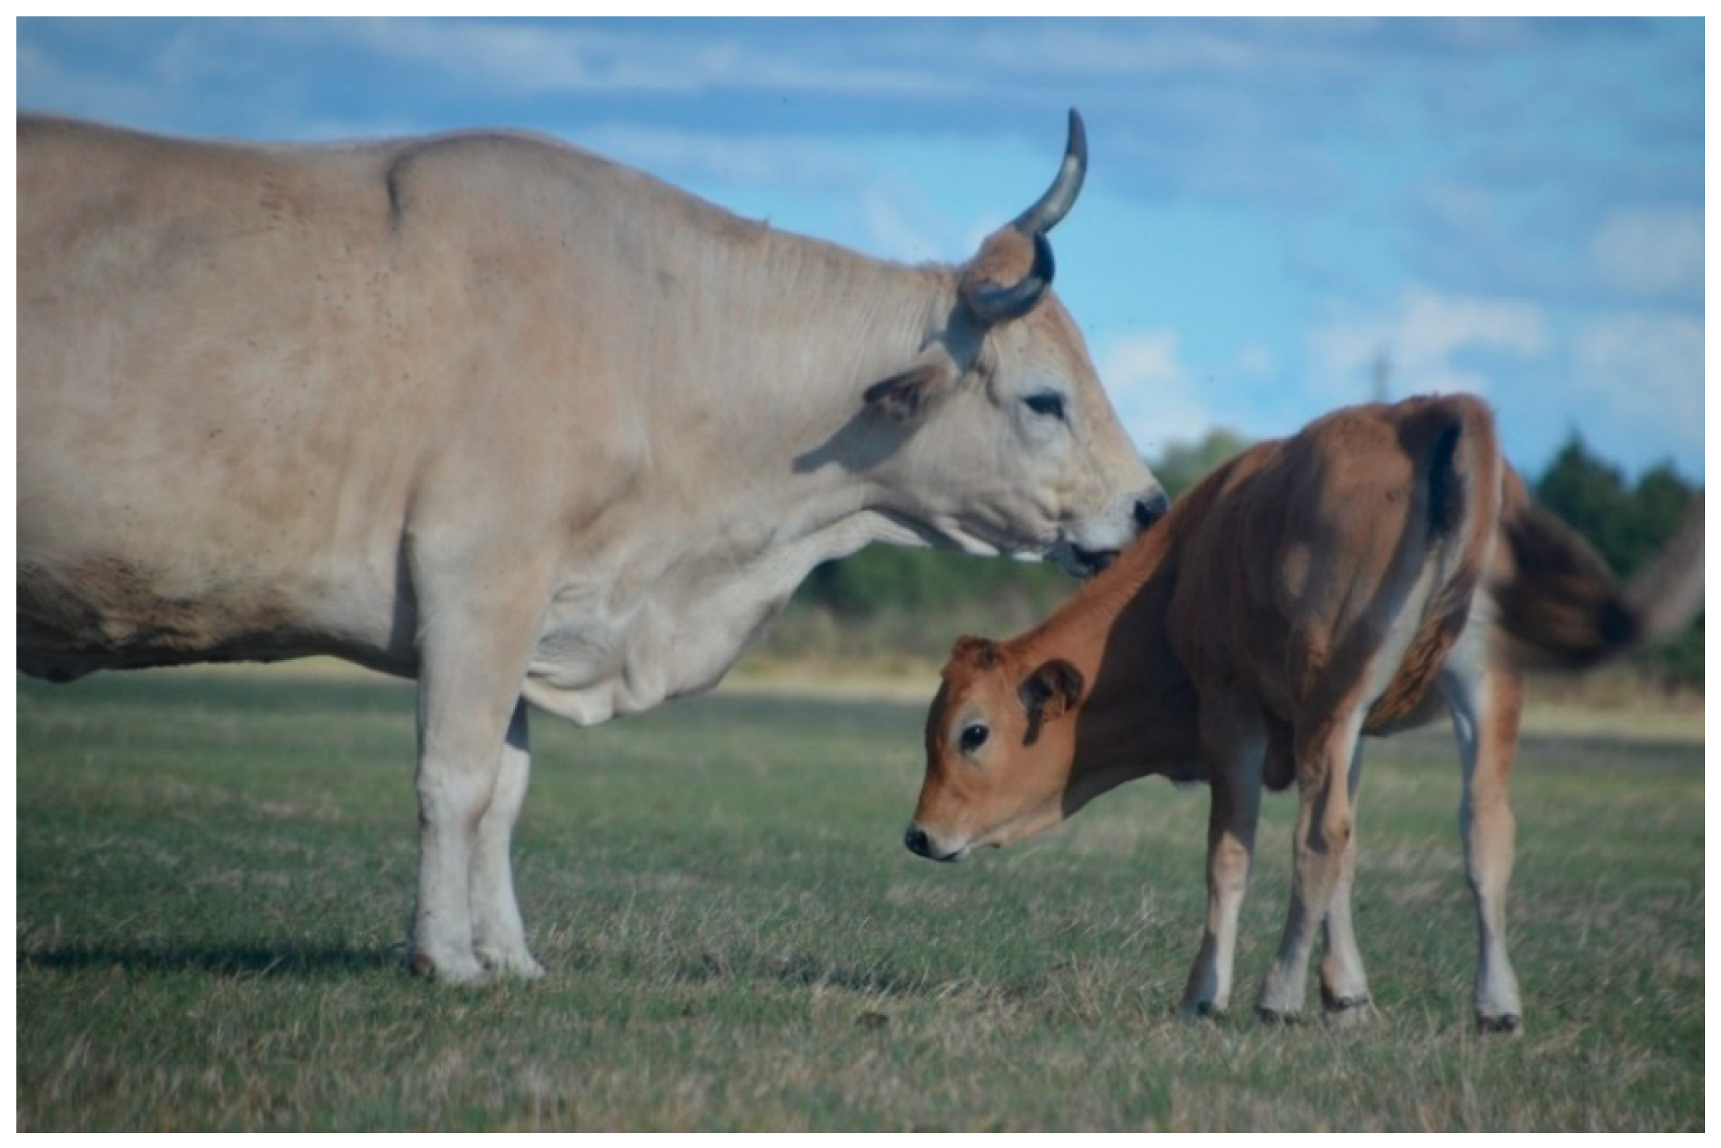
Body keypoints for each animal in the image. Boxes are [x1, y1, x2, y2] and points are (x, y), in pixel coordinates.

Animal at [17, 109, 1167, 984]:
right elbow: (456, 780)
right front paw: (447, 958)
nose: (1149, 505)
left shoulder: (534, 611)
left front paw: (510, 958)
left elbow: (505, 792)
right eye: (1043, 397)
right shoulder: (478, 587)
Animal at [904, 395, 1703, 1033]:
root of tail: (1422, 410)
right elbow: (1348, 856)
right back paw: (1496, 1005)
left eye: (972, 732)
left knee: (1316, 836)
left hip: (1333, 675)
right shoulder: (1347, 736)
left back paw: (1277, 994)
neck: (1181, 569)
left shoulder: (1231, 709)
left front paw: (1205, 993)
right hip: (1483, 681)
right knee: (1483, 828)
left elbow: (1233, 853)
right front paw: (1347, 997)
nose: (918, 835)